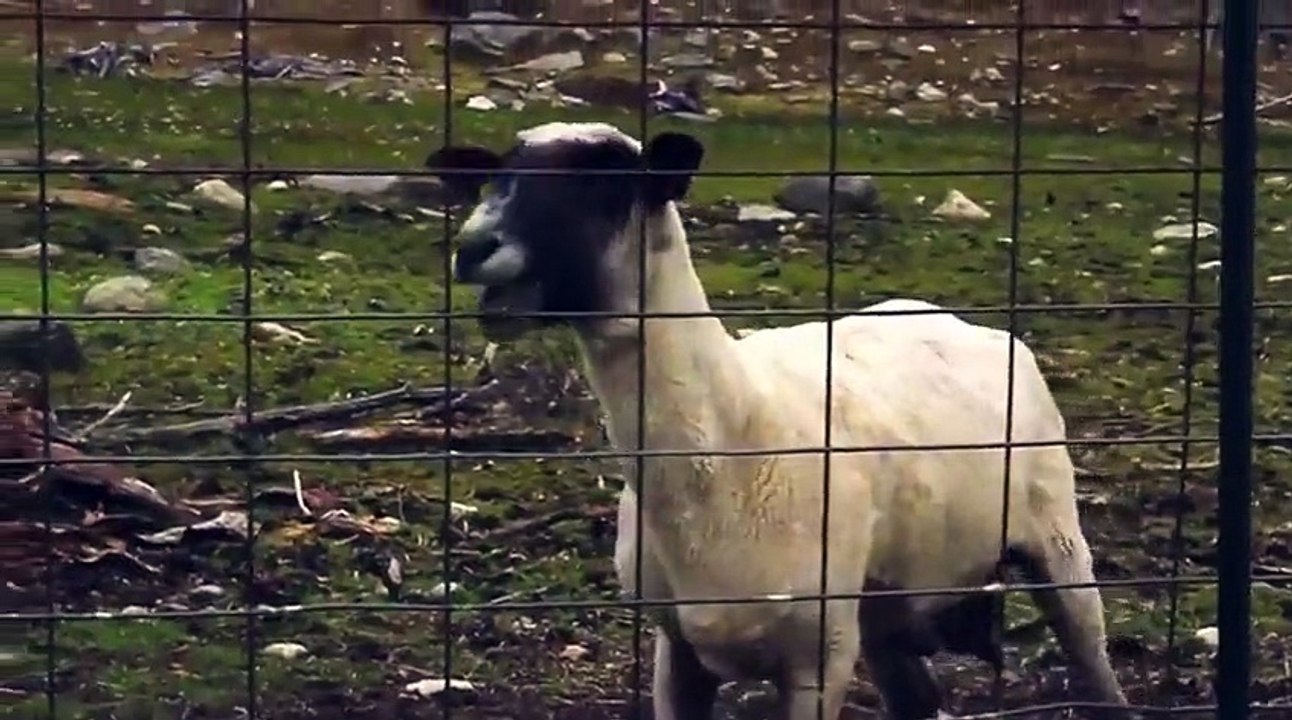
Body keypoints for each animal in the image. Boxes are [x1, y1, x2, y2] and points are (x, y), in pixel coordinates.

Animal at [427, 121, 1132, 720]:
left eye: (603, 183)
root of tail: (955, 318)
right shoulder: (677, 651)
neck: (729, 443)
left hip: (1055, 534)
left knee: (1096, 666)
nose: (473, 247)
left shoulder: (819, 658)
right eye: (497, 175)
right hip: (884, 607)